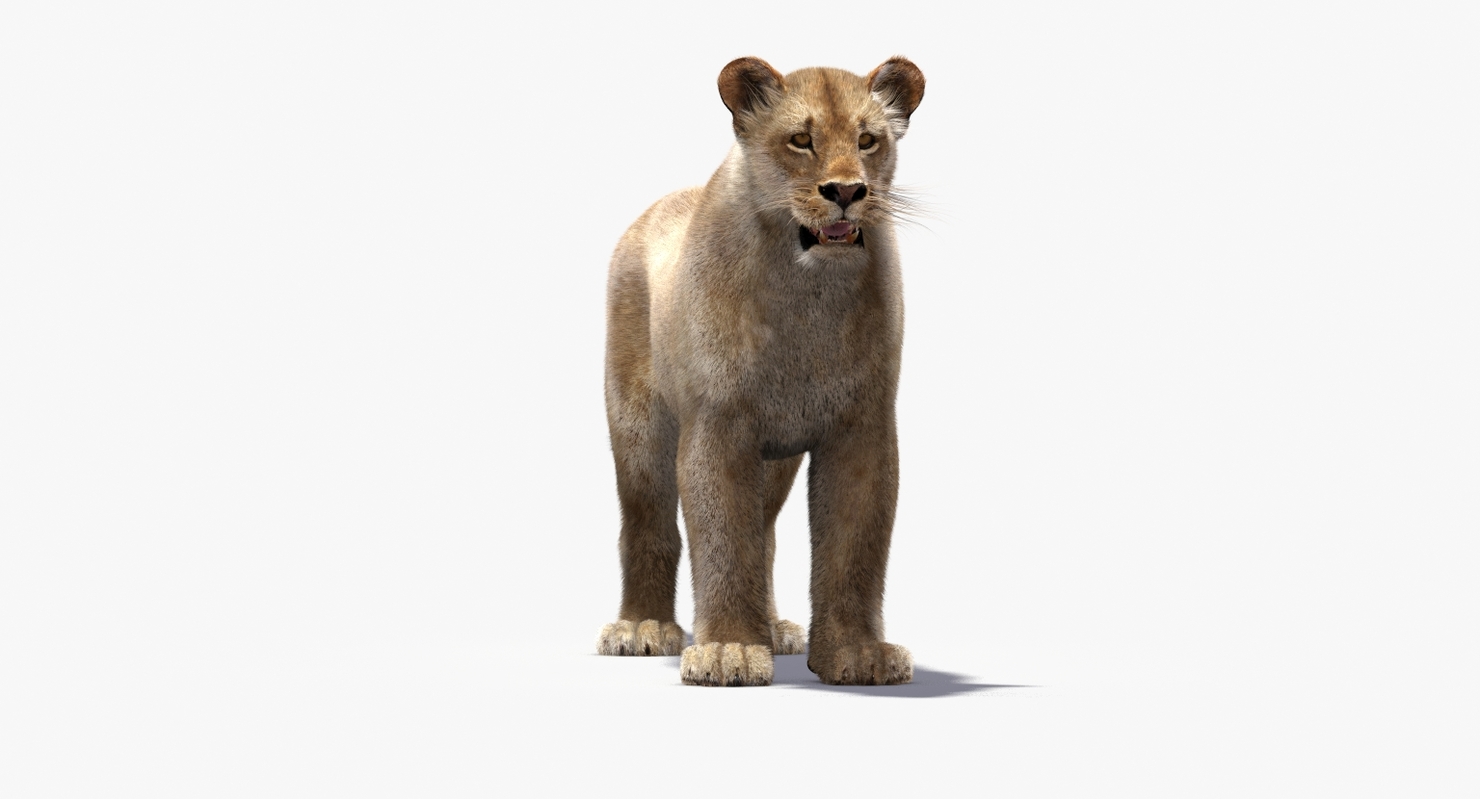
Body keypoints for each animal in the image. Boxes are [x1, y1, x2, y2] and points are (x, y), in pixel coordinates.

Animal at [595, 56, 926, 686]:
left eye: (868, 140)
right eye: (801, 139)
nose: (846, 192)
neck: (809, 295)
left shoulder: (862, 428)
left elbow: (855, 546)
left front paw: (857, 655)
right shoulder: (718, 424)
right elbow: (722, 536)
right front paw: (728, 651)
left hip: (777, 454)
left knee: (765, 530)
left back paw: (773, 629)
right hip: (637, 421)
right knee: (647, 519)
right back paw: (642, 627)